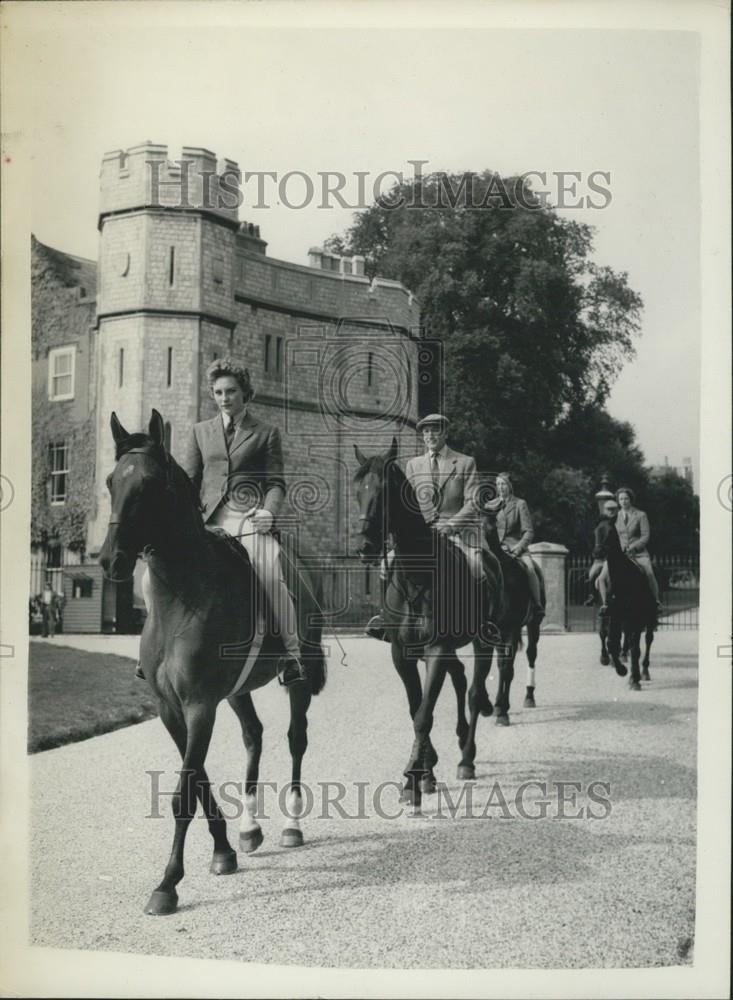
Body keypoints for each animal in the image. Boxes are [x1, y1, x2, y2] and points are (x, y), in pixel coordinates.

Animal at [99, 410, 326, 915]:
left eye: (150, 485)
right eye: (110, 481)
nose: (109, 560)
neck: (181, 596)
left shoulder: (200, 705)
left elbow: (184, 791)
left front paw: (167, 883)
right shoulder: (172, 708)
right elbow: (198, 780)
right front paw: (222, 850)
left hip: (298, 684)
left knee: (297, 740)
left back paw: (291, 826)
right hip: (238, 692)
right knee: (253, 736)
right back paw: (249, 829)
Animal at [354, 438, 525, 809]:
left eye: (385, 490)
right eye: (357, 490)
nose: (365, 547)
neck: (418, 575)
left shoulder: (436, 648)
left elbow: (424, 713)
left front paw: (415, 778)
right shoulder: (402, 653)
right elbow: (416, 708)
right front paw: (423, 772)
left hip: (483, 641)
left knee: (473, 692)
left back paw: (467, 758)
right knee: (459, 676)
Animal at [594, 519, 657, 689]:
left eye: (610, 532)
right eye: (595, 531)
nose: (598, 552)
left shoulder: (636, 618)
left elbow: (635, 648)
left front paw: (634, 679)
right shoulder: (615, 616)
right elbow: (611, 642)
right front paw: (621, 670)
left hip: (648, 618)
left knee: (648, 640)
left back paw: (644, 671)